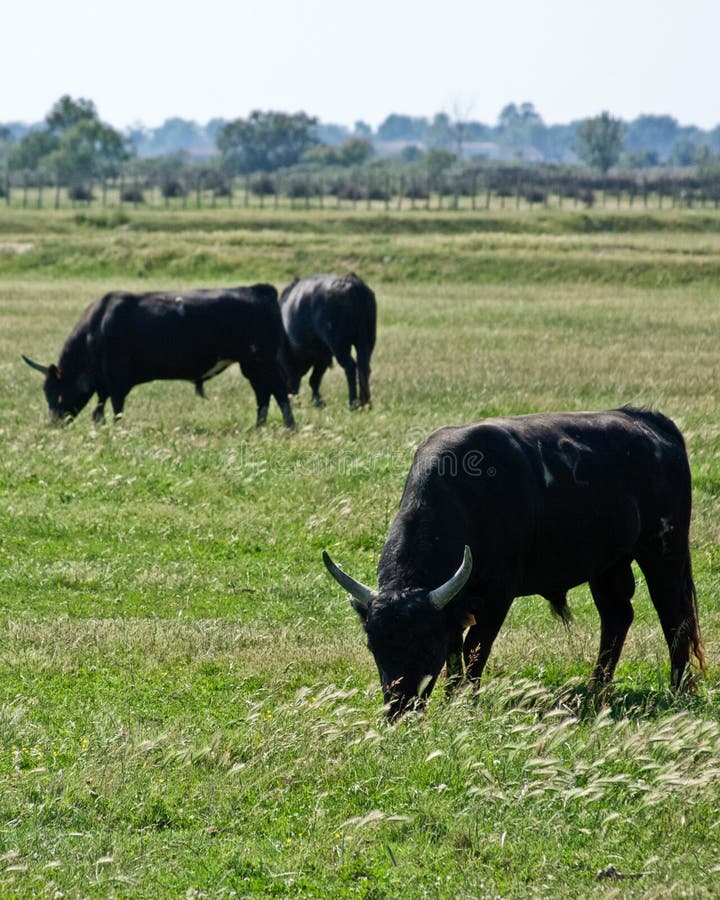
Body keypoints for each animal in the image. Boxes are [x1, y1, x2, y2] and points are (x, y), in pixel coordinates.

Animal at [22, 284, 295, 428]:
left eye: (57, 392)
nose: (54, 423)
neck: (95, 328)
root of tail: (259, 290)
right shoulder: (103, 384)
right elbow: (99, 409)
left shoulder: (117, 380)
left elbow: (116, 407)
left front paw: (118, 429)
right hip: (252, 365)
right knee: (263, 394)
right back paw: (258, 427)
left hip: (262, 362)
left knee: (278, 391)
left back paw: (289, 428)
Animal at [278, 273, 376, 409]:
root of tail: (352, 285)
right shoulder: (323, 356)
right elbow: (314, 380)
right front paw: (318, 403)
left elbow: (307, 380)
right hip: (366, 342)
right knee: (364, 367)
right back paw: (366, 404)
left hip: (340, 346)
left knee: (350, 367)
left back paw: (352, 403)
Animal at [323, 407, 706, 719]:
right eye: (374, 645)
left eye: (425, 645)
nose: (399, 710)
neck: (465, 495)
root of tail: (648, 420)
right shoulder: (454, 611)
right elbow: (456, 656)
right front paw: (452, 698)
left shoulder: (497, 598)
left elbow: (474, 652)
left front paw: (466, 703)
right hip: (608, 566)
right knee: (617, 617)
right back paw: (597, 687)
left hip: (664, 552)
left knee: (675, 617)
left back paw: (678, 688)